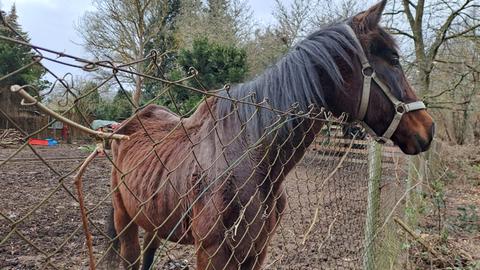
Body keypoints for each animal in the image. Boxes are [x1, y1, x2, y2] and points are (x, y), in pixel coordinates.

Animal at [106, 1, 436, 268]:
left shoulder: (256, 251)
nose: (428, 128)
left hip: (152, 221)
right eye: (393, 59)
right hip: (125, 219)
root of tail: (123, 126)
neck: (250, 158)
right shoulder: (212, 253)